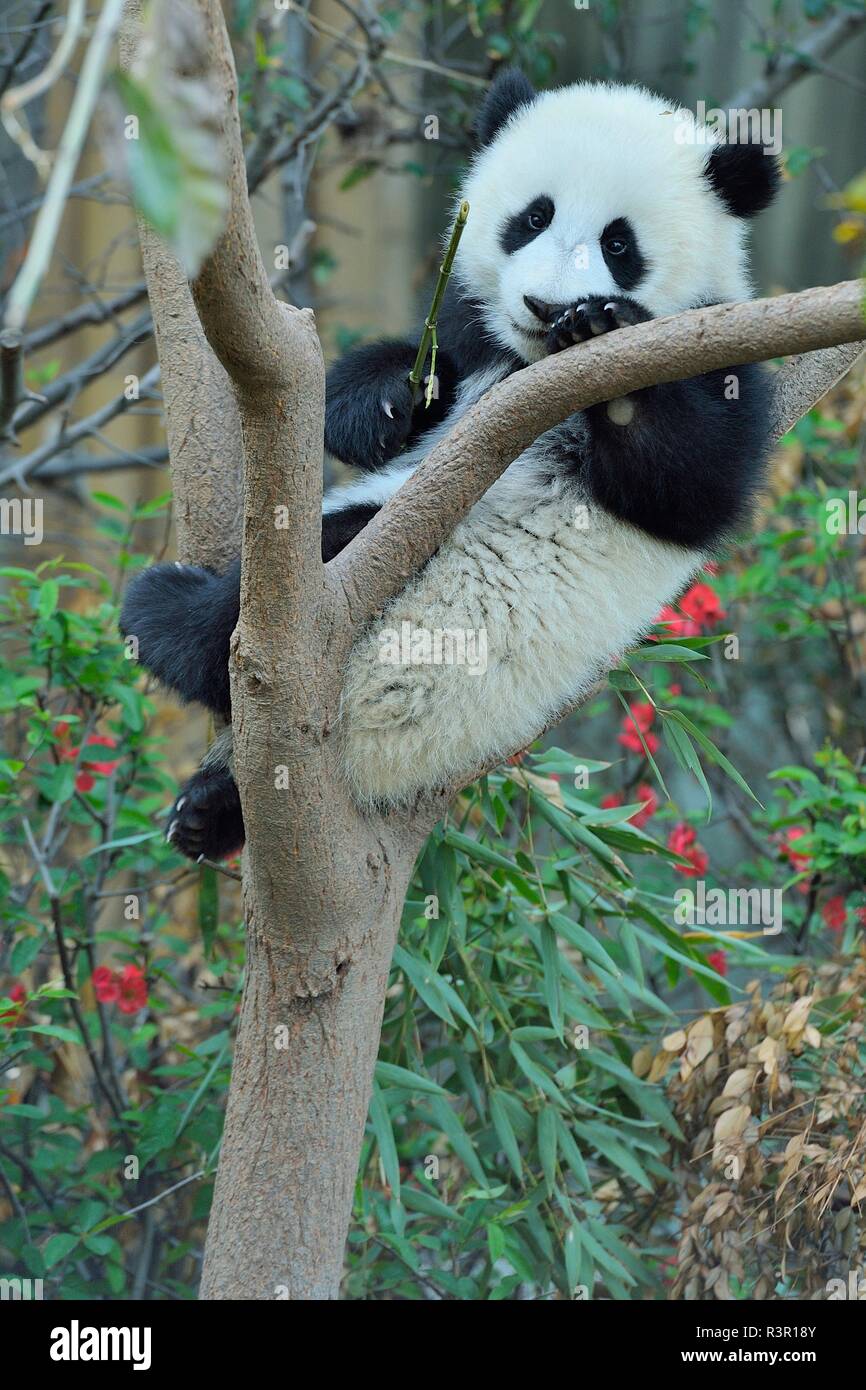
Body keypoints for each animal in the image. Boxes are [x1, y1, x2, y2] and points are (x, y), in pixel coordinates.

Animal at [120, 67, 780, 862]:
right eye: (532, 217)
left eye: (620, 244)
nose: (545, 305)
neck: (531, 360)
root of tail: (371, 755)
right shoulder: (471, 334)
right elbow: (402, 377)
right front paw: (388, 400)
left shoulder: (724, 351)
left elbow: (690, 487)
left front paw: (602, 331)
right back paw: (206, 811)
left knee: (282, 587)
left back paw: (164, 619)